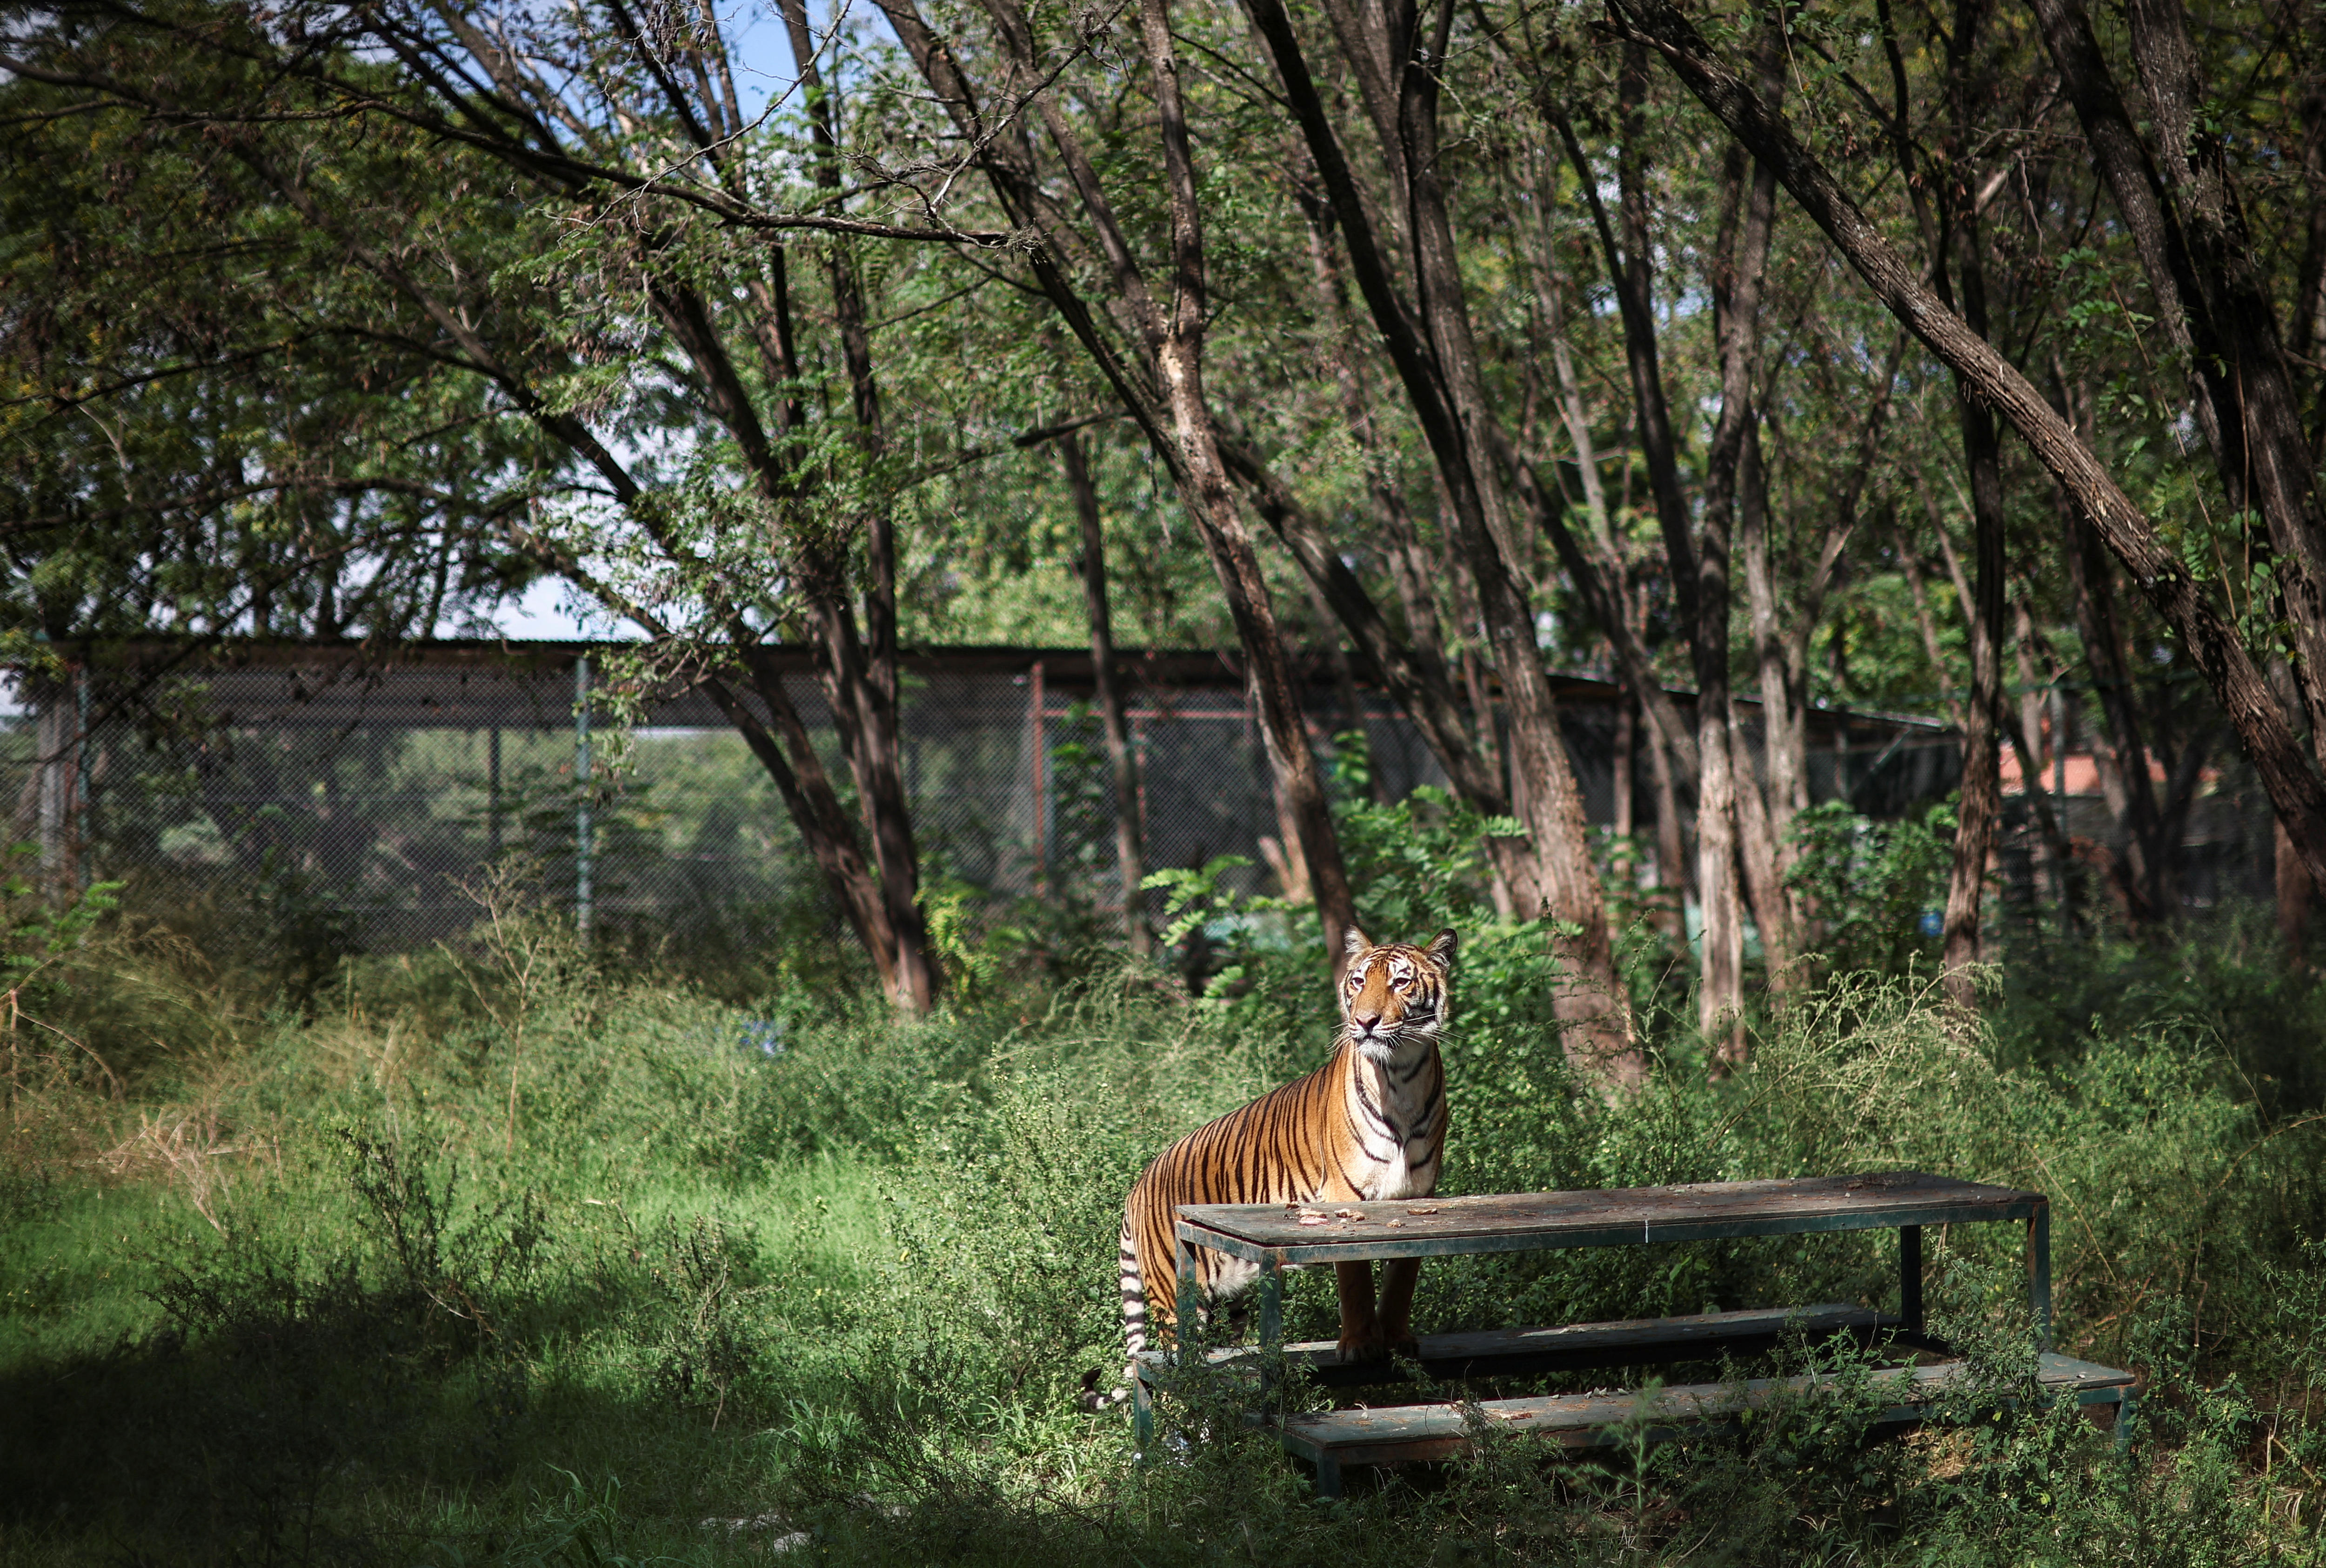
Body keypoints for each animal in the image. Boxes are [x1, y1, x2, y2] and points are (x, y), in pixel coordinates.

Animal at [1089, 926, 1455, 1409]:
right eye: (1358, 981)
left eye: (1400, 982)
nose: (1365, 1022)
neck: (1401, 1077)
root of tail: (1138, 1185)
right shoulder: (1344, 1200)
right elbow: (1355, 1279)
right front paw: (1360, 1344)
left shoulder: (1418, 1199)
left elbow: (1402, 1277)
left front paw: (1397, 1341)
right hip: (1177, 1298)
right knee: (1176, 1379)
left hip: (1230, 1307)